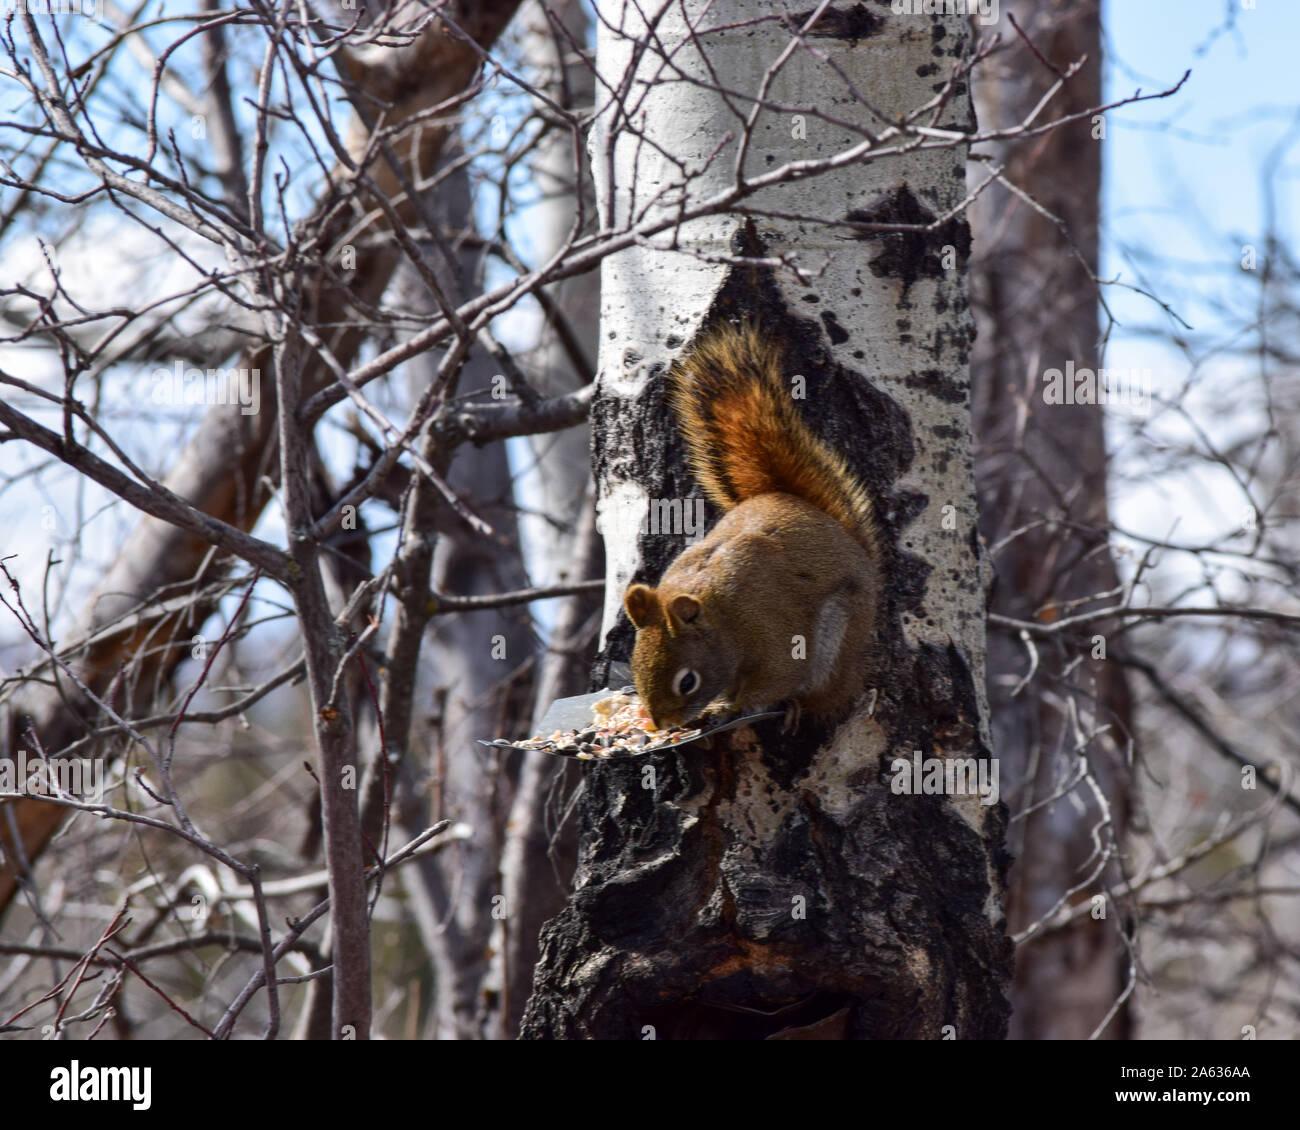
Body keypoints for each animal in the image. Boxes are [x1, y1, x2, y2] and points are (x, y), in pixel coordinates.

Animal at [622, 322, 884, 732]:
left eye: (687, 681)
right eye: (635, 665)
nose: (663, 725)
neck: (724, 619)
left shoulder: (775, 636)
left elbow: (774, 681)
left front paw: (732, 709)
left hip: (838, 641)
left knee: (826, 694)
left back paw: (796, 707)